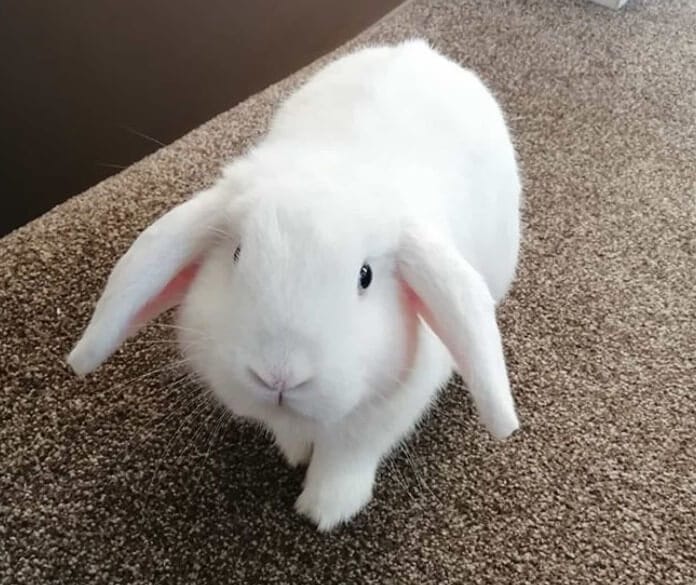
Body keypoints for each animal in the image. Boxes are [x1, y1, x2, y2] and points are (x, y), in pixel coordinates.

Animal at [67, 39, 522, 531]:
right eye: (237, 254)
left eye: (365, 276)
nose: (278, 375)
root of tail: (419, 50)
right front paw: (294, 451)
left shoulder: (382, 418)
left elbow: (346, 458)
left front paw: (325, 510)